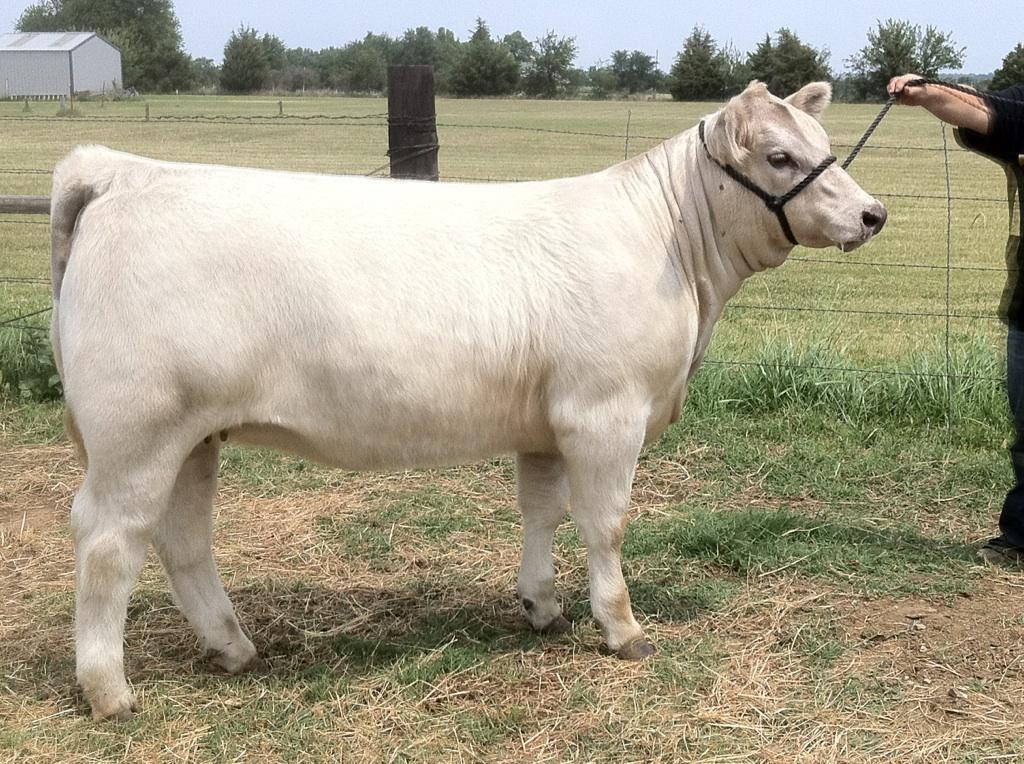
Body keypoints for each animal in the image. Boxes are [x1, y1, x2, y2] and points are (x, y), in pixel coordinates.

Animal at [49, 81, 886, 720]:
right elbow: (605, 523)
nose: (873, 214)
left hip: (191, 434)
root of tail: (121, 171)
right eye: (780, 157)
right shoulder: (605, 411)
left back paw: (233, 647)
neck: (672, 246)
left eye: (824, 142)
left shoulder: (547, 424)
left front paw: (541, 606)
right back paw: (110, 691)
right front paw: (621, 628)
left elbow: (543, 512)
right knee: (110, 541)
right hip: (137, 430)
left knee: (182, 538)